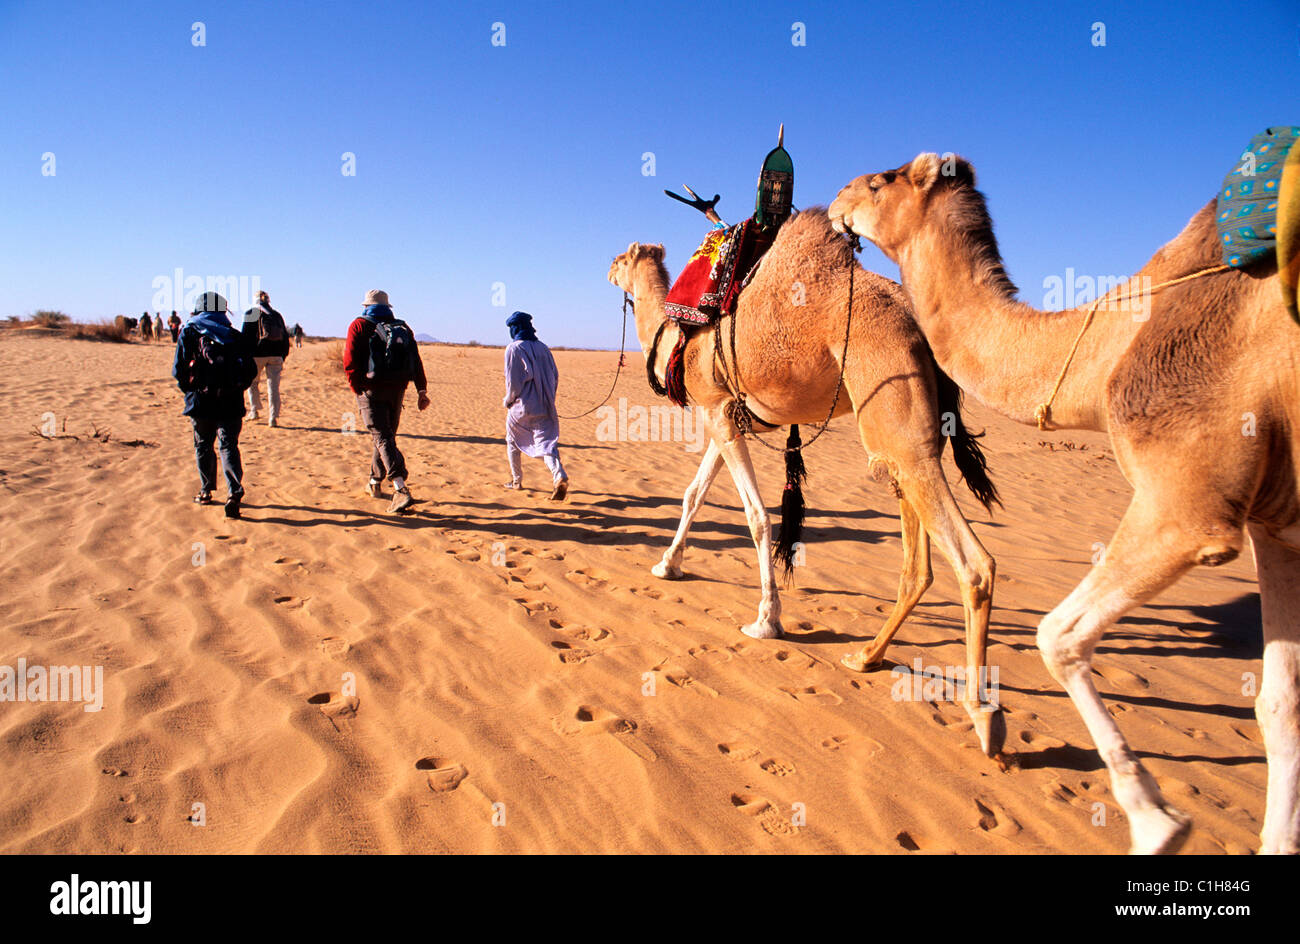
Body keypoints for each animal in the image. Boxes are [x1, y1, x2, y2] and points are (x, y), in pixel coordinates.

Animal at [608, 208, 1006, 756]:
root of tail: (918, 322)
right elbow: (694, 495)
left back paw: (983, 714)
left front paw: (767, 620)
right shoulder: (725, 415)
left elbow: (756, 516)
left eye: (621, 257)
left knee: (973, 561)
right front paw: (667, 565)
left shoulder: (717, 411)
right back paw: (866, 656)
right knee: (918, 556)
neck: (677, 334)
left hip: (893, 407)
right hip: (903, 427)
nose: (608, 269)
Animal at [830, 154, 1300, 855]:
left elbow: (1057, 636)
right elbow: (1279, 704)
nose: (836, 198)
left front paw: (1154, 820)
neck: (1110, 348)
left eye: (881, 180)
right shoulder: (1278, 529)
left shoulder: (1189, 502)